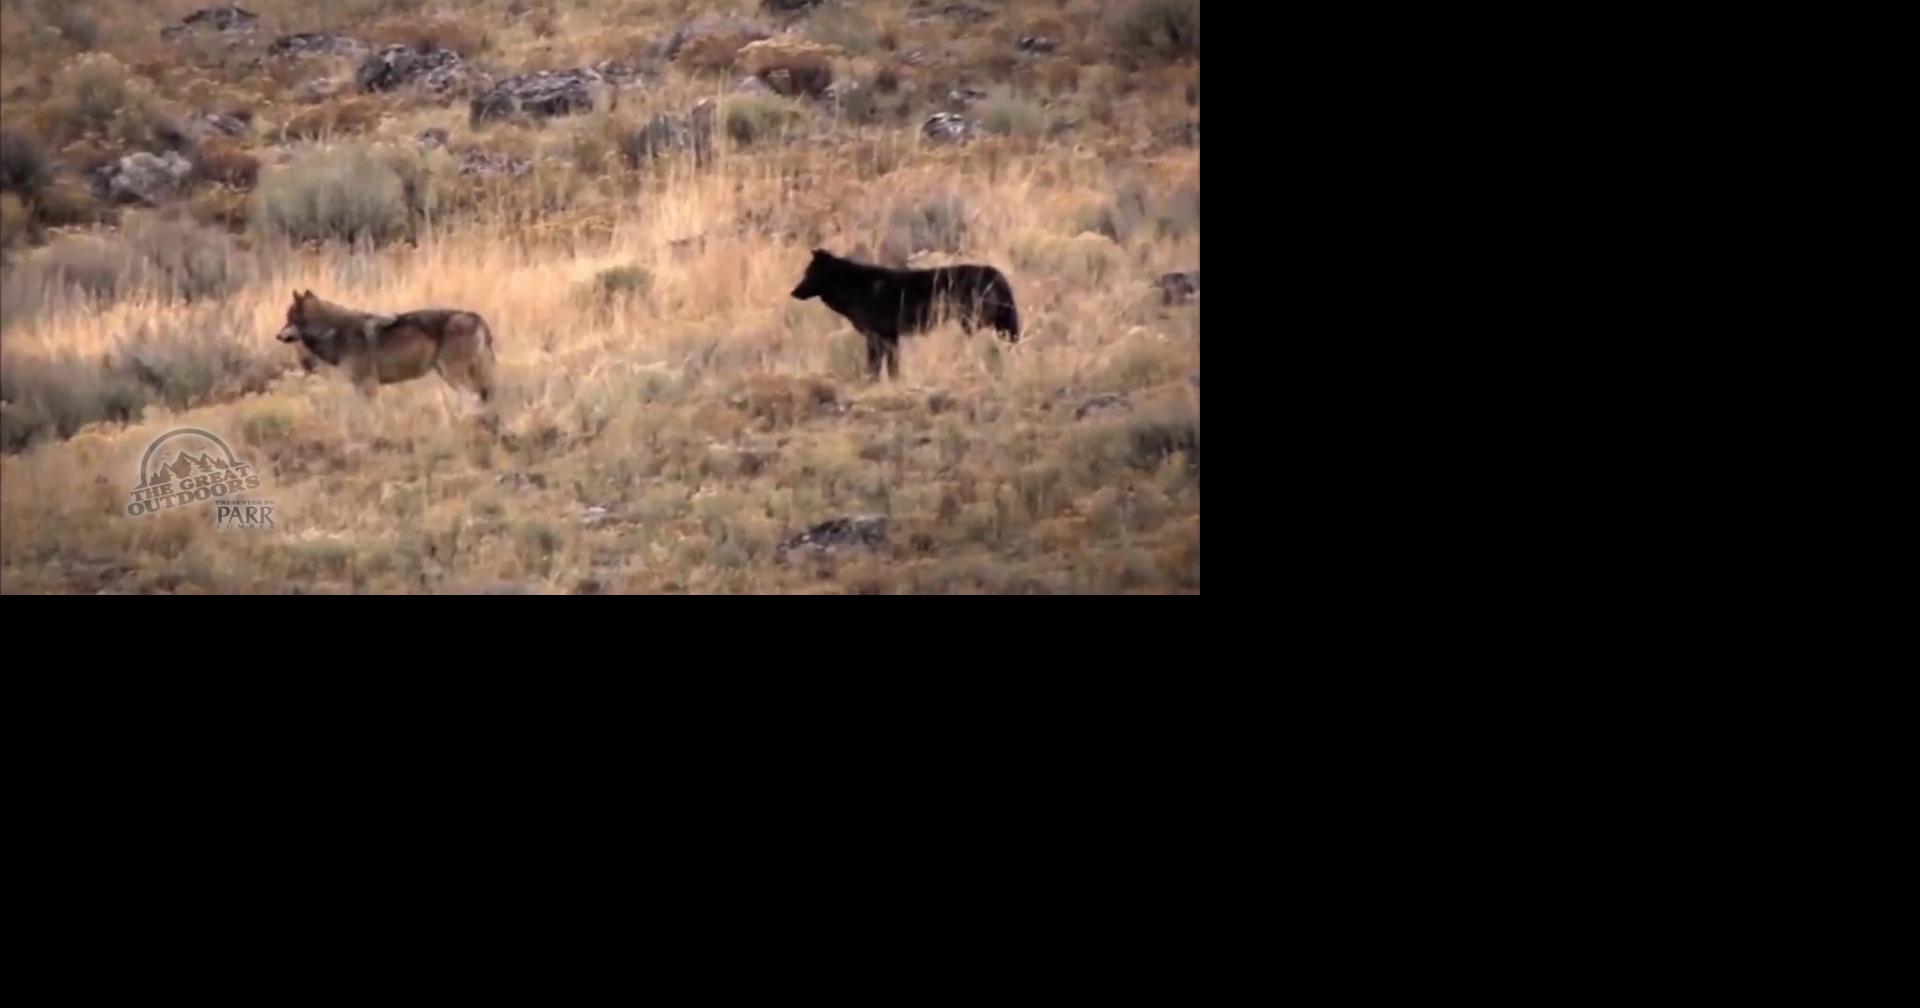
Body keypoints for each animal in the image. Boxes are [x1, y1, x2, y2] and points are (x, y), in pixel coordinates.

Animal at [275, 289, 496, 405]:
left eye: (288, 319)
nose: (277, 336)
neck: (333, 331)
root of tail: (477, 317)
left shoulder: (368, 385)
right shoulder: (361, 387)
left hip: (453, 375)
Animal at [789, 248, 1020, 380]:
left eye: (808, 274)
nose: (792, 292)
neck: (855, 286)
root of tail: (996, 273)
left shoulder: (878, 338)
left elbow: (875, 367)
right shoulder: (890, 338)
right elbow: (891, 368)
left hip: (975, 326)